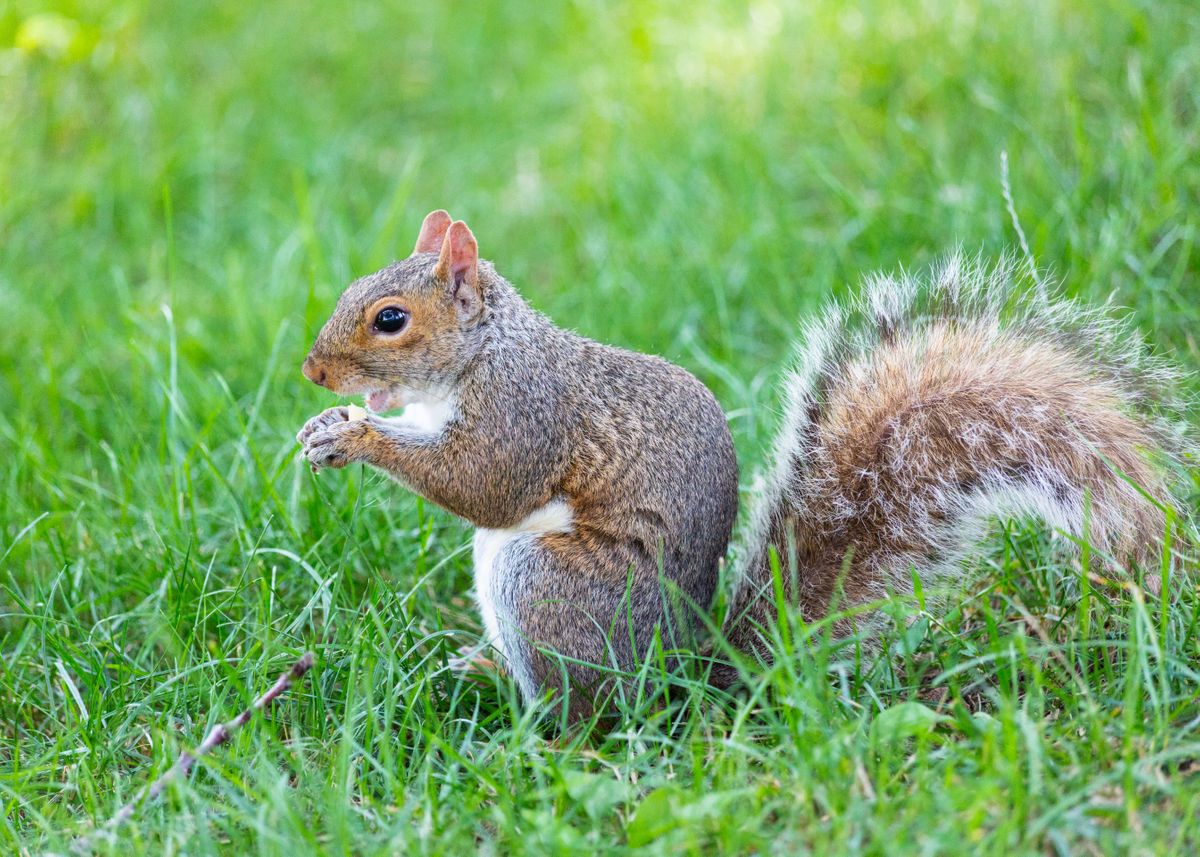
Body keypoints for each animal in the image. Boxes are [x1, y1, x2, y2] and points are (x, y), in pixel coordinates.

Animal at [298, 210, 1189, 719]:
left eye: (389, 319)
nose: (312, 371)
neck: (483, 352)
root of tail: (683, 677)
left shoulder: (527, 411)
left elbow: (484, 483)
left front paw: (356, 437)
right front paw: (329, 425)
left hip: (545, 584)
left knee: (585, 715)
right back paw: (483, 667)